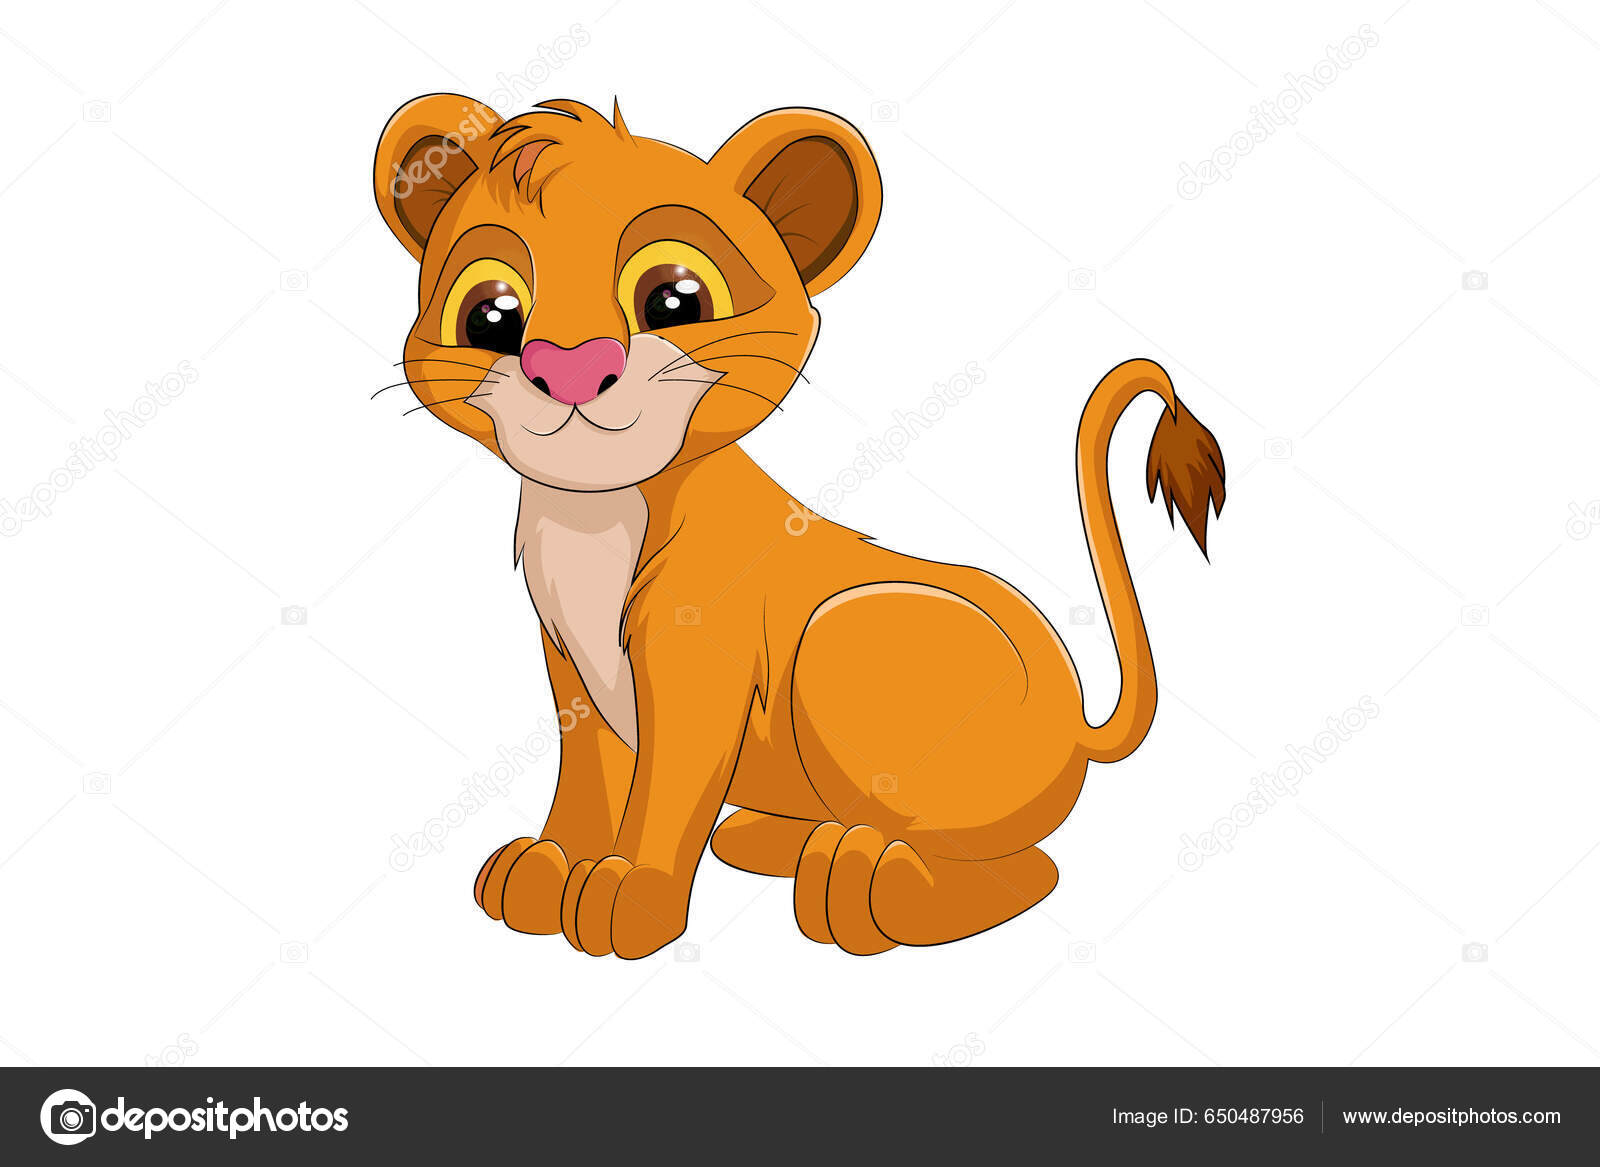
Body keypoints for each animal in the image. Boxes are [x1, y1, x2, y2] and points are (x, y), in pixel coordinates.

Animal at [372, 96, 1226, 957]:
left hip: (841, 635)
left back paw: (867, 880)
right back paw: (786, 840)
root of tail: (1079, 721)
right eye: (492, 313)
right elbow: (587, 778)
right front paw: (549, 866)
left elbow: (662, 794)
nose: (570, 365)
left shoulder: (695, 669)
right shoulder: (571, 664)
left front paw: (629, 895)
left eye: (675, 300)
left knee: (1029, 870)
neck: (594, 517)